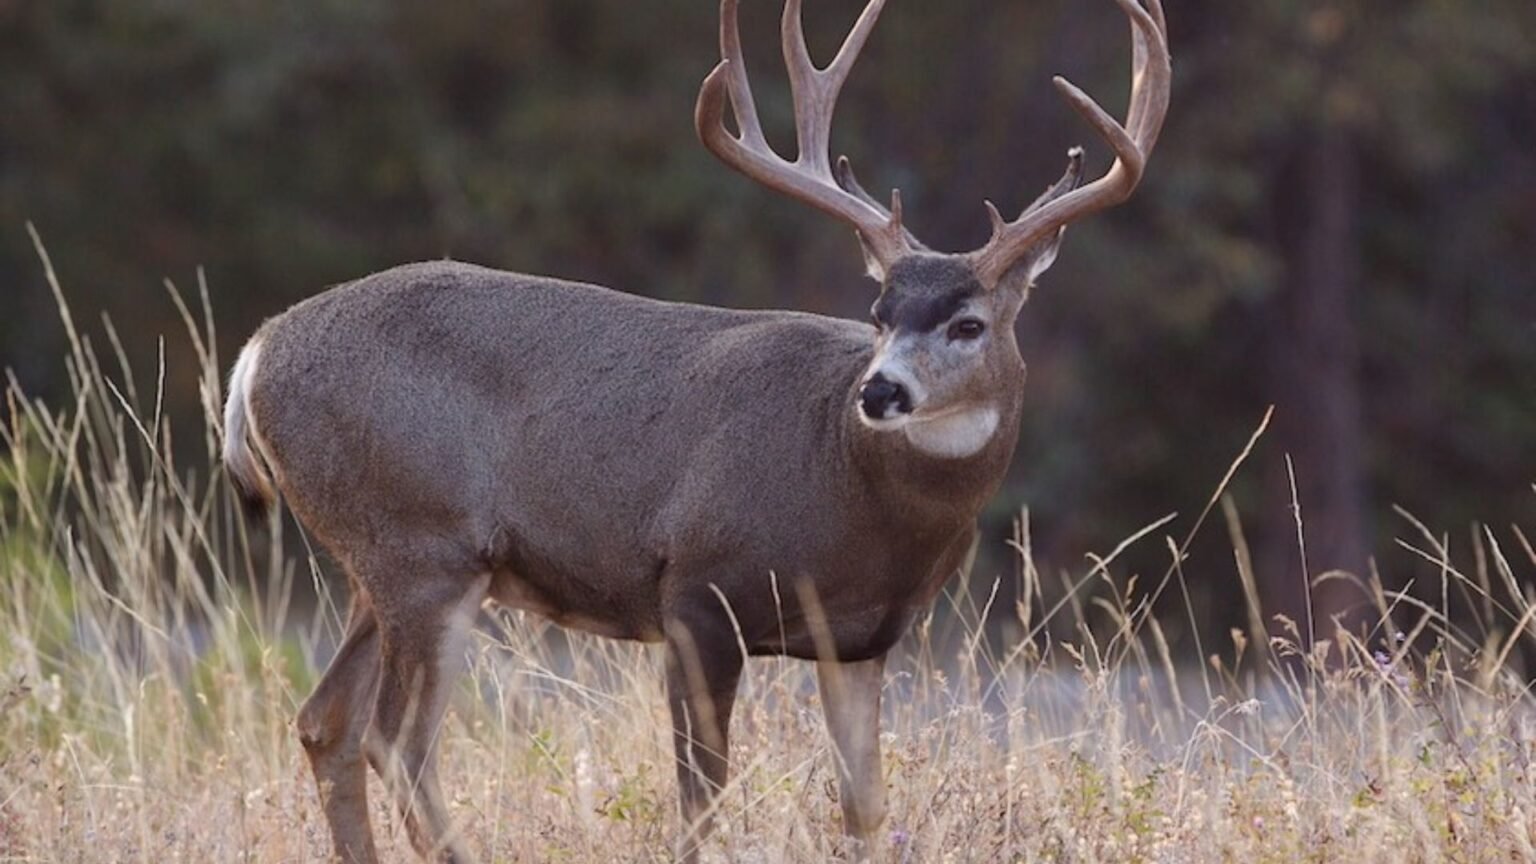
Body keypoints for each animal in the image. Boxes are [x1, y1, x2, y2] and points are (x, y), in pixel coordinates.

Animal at [220, 0, 1169, 860]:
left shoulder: (861, 640)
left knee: (325, 723)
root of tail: (255, 353)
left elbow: (863, 810)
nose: (879, 391)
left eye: (969, 323)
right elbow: (700, 800)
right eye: (879, 312)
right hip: (423, 547)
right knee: (396, 740)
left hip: (377, 564)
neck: (845, 483)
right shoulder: (698, 591)